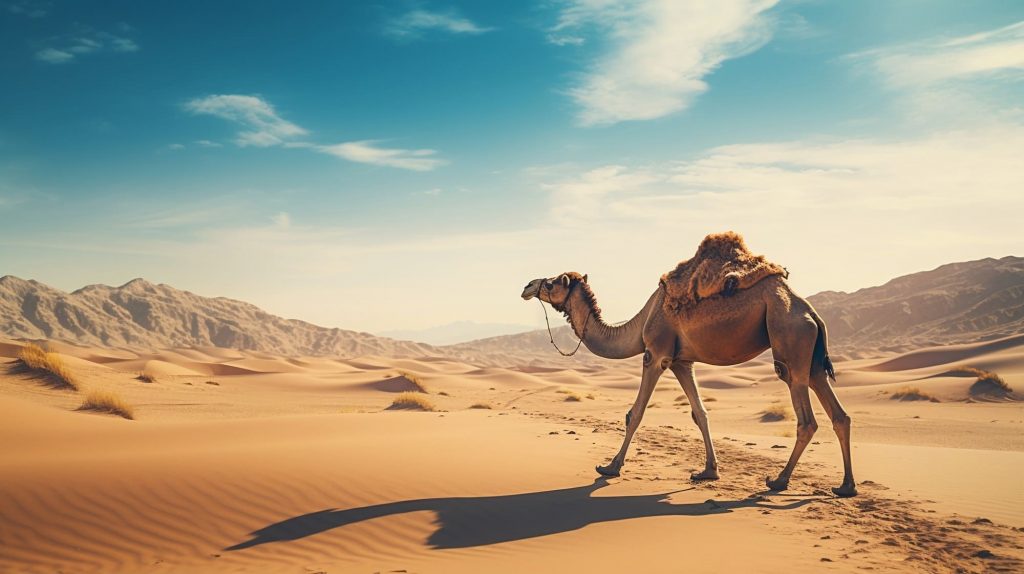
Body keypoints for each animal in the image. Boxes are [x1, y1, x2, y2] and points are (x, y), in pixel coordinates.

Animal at [520, 235, 857, 497]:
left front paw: (610, 467)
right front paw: (708, 471)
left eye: (552, 282)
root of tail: (810, 312)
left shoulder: (655, 354)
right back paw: (845, 487)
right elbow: (700, 413)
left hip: (790, 341)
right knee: (839, 414)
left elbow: (635, 413)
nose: (527, 285)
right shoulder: (682, 362)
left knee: (806, 418)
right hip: (811, 357)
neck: (642, 320)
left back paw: (779, 481)